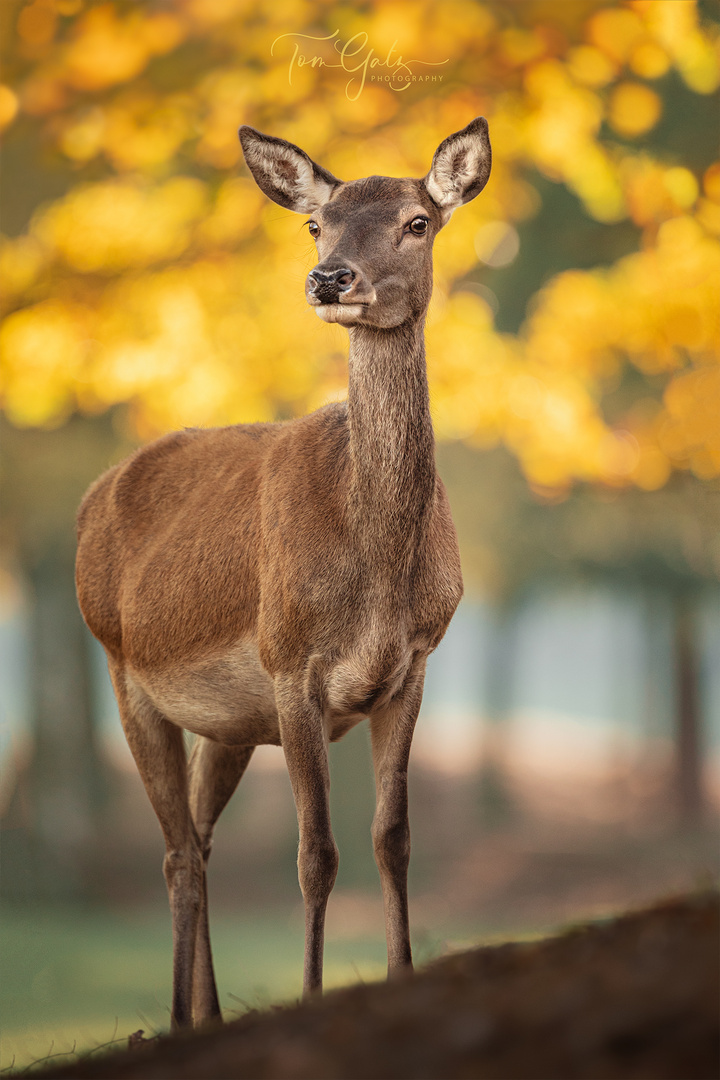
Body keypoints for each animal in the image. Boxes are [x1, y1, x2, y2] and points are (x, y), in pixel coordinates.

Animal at [76, 116, 492, 1028]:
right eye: (315, 223)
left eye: (417, 220)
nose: (330, 277)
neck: (378, 573)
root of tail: (92, 500)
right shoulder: (292, 663)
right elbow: (316, 853)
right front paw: (310, 993)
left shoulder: (413, 663)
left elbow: (392, 838)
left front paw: (402, 978)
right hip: (125, 669)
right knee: (177, 853)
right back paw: (174, 1022)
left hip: (229, 721)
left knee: (198, 841)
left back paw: (208, 1015)